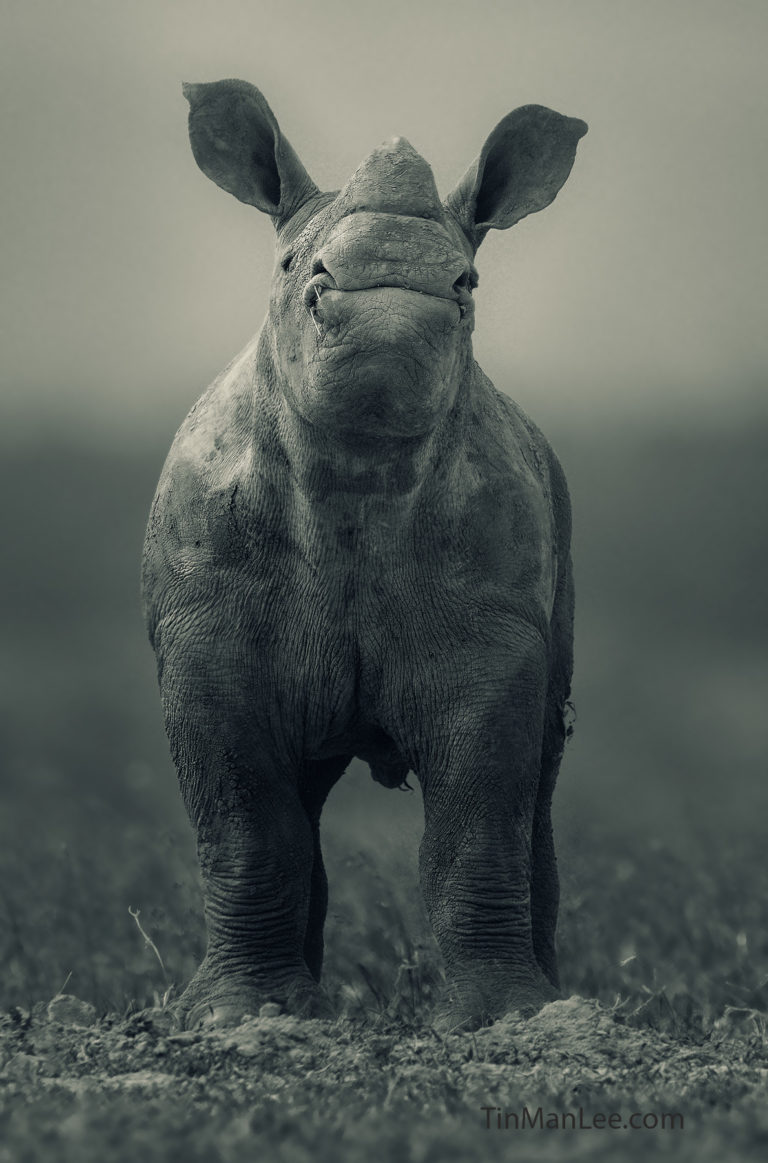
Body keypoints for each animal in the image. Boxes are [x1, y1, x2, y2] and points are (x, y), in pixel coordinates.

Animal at [141, 79, 587, 1031]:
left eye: (465, 283)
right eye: (294, 270)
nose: (386, 321)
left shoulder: (493, 636)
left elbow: (479, 817)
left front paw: (501, 1019)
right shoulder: (206, 634)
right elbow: (246, 824)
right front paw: (240, 1017)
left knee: (538, 779)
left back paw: (557, 1004)